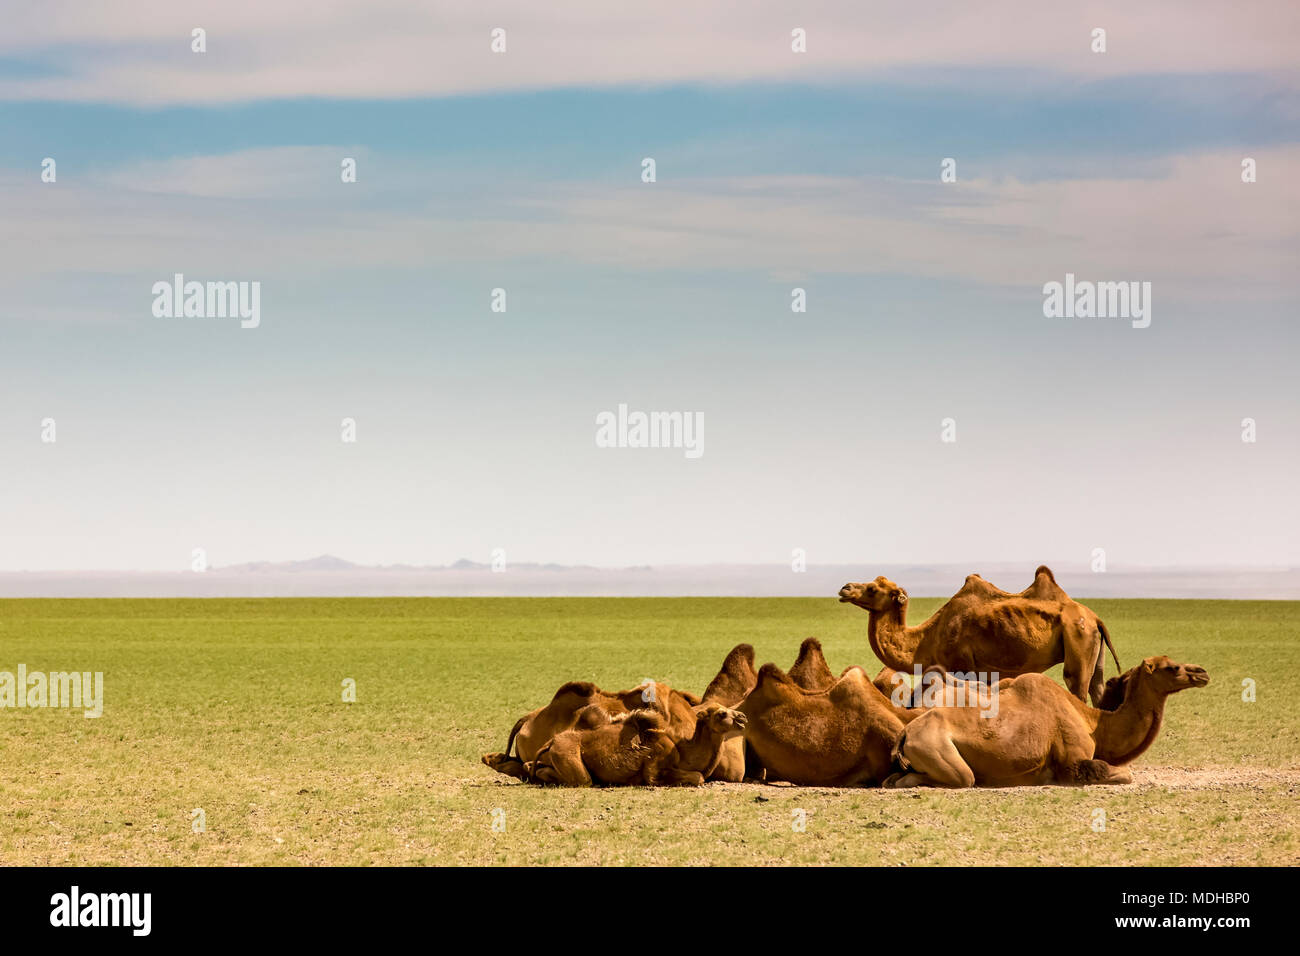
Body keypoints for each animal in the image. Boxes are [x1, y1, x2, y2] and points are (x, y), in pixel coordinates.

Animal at [528, 702, 748, 787]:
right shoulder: (655, 766)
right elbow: (698, 776)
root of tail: (552, 741)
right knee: (583, 779)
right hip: (570, 758)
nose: (742, 717)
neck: (682, 749)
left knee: (537, 767)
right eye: (722, 713)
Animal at [838, 565, 1120, 706]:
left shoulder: (962, 666)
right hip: (1093, 645)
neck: (926, 639)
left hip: (1078, 636)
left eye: (873, 589)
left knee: (1078, 686)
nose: (845, 588)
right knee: (1098, 689)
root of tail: (1095, 618)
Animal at [886, 656, 1208, 788]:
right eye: (1172, 667)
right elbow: (1123, 773)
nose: (1202, 672)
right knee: (961, 778)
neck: (1094, 724)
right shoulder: (1074, 763)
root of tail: (905, 734)